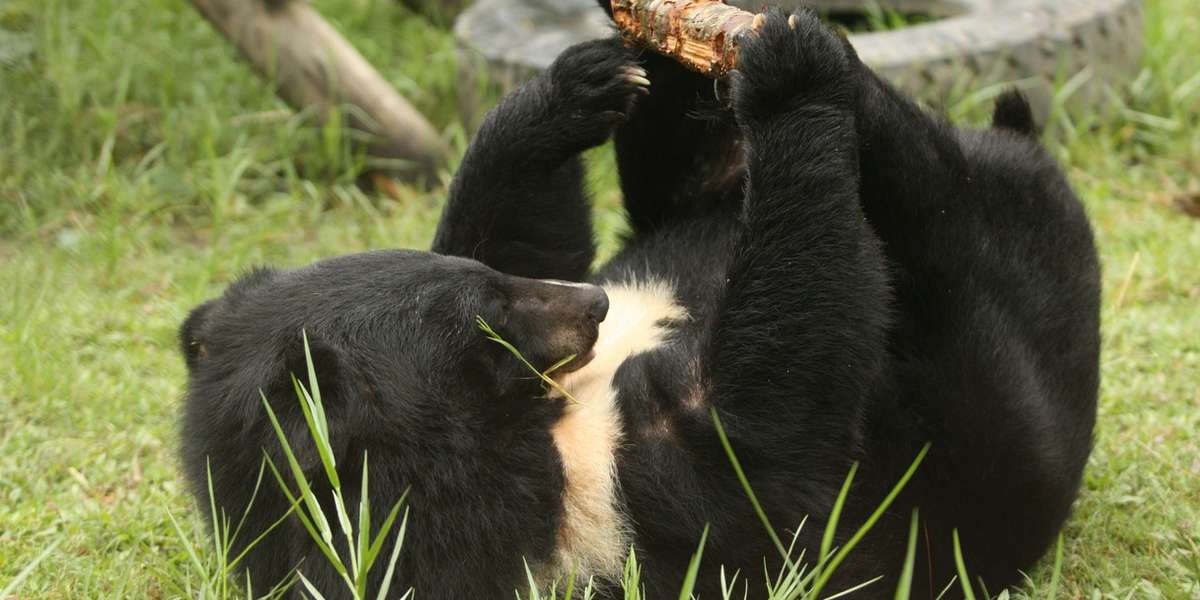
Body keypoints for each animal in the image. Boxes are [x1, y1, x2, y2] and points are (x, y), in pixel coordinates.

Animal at [178, 7, 1101, 599]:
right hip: (1015, 330)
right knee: (953, 209)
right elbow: (770, 430)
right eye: (487, 324)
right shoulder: (624, 519)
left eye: (486, 290)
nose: (594, 305)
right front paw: (790, 76)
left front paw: (578, 85)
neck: (544, 423)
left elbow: (519, 229)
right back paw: (841, 84)